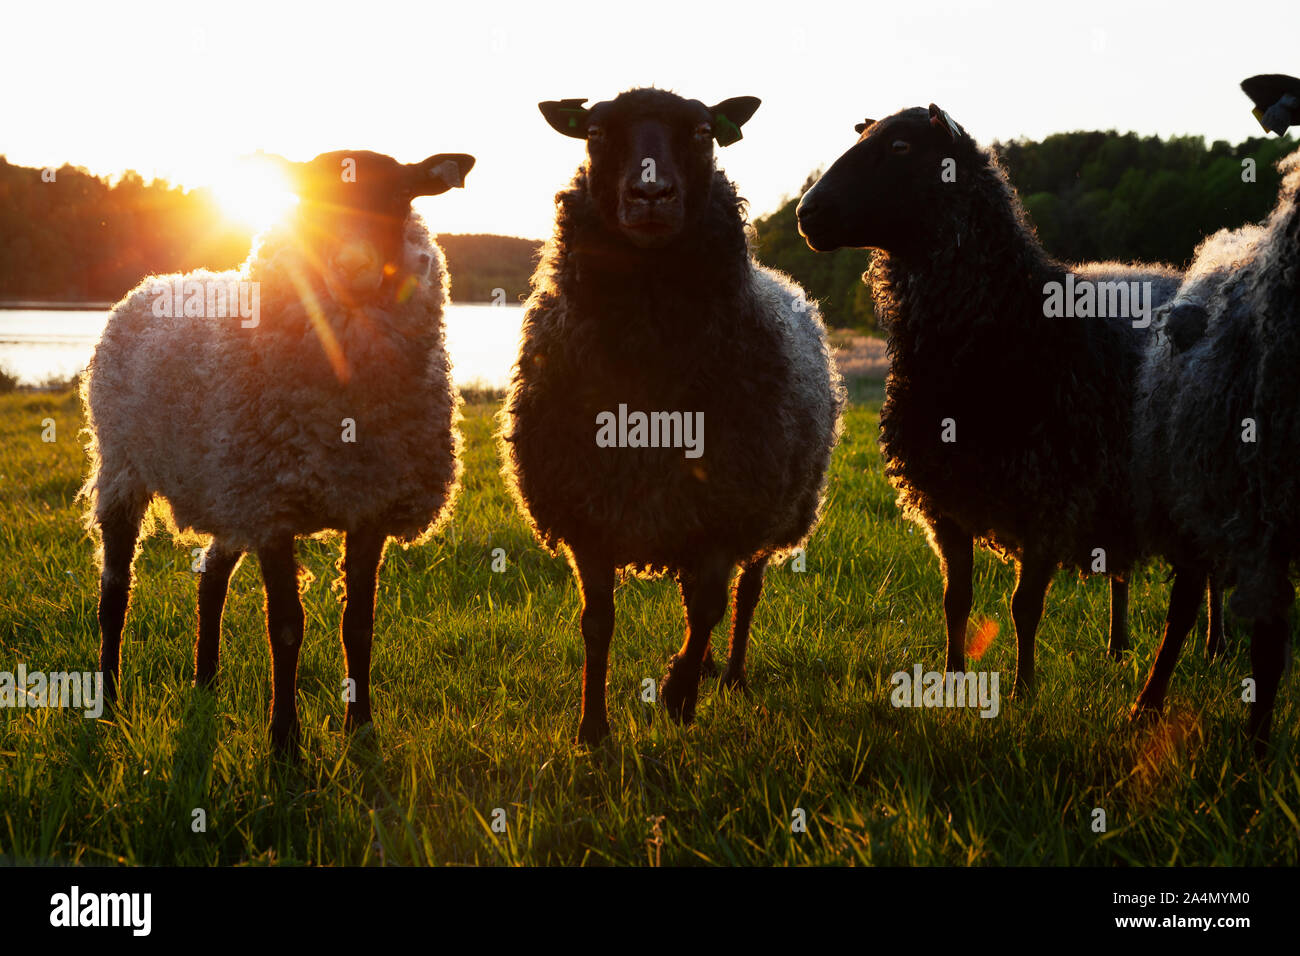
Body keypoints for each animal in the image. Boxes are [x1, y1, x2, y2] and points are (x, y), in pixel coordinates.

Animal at [79, 149, 475, 754]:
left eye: (398, 195)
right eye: (308, 200)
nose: (353, 263)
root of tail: (151, 284)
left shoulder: (368, 506)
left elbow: (358, 625)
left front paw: (360, 729)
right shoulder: (272, 510)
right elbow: (286, 626)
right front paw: (285, 742)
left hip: (229, 488)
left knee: (211, 579)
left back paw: (206, 681)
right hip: (127, 470)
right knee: (115, 592)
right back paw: (109, 698)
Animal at [500, 88, 845, 745]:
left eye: (704, 131)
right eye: (596, 133)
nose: (651, 194)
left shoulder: (726, 511)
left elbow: (709, 606)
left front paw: (678, 696)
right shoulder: (589, 513)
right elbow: (598, 622)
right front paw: (593, 729)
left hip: (778, 506)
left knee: (746, 592)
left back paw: (729, 674)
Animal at [795, 104, 1207, 690]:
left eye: (900, 147)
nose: (807, 212)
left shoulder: (1049, 498)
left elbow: (1023, 607)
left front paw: (1023, 691)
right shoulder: (944, 502)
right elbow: (955, 599)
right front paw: (952, 679)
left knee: (1191, 595)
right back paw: (1127, 650)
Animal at [1130, 79, 1300, 748]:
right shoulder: (1265, 517)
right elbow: (1270, 647)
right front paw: (1255, 756)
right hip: (1193, 486)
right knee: (1184, 599)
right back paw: (1150, 701)